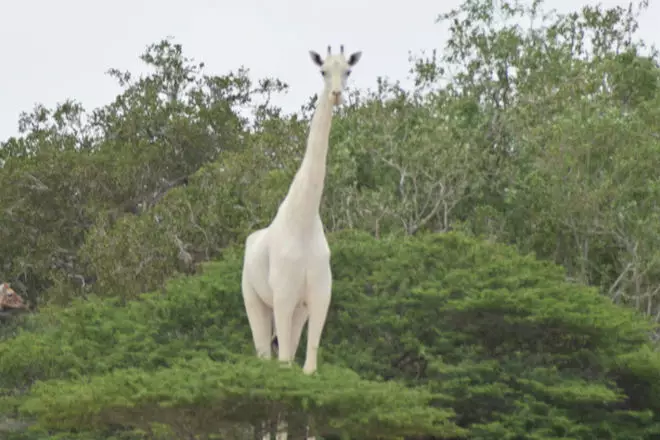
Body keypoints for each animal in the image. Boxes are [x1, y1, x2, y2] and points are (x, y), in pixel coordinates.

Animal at [242, 44, 364, 440]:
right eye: (323, 71)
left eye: (348, 71)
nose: (336, 94)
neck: (304, 221)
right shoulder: (282, 297)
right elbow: (283, 371)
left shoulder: (319, 298)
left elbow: (307, 371)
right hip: (255, 301)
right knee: (265, 358)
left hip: (297, 311)